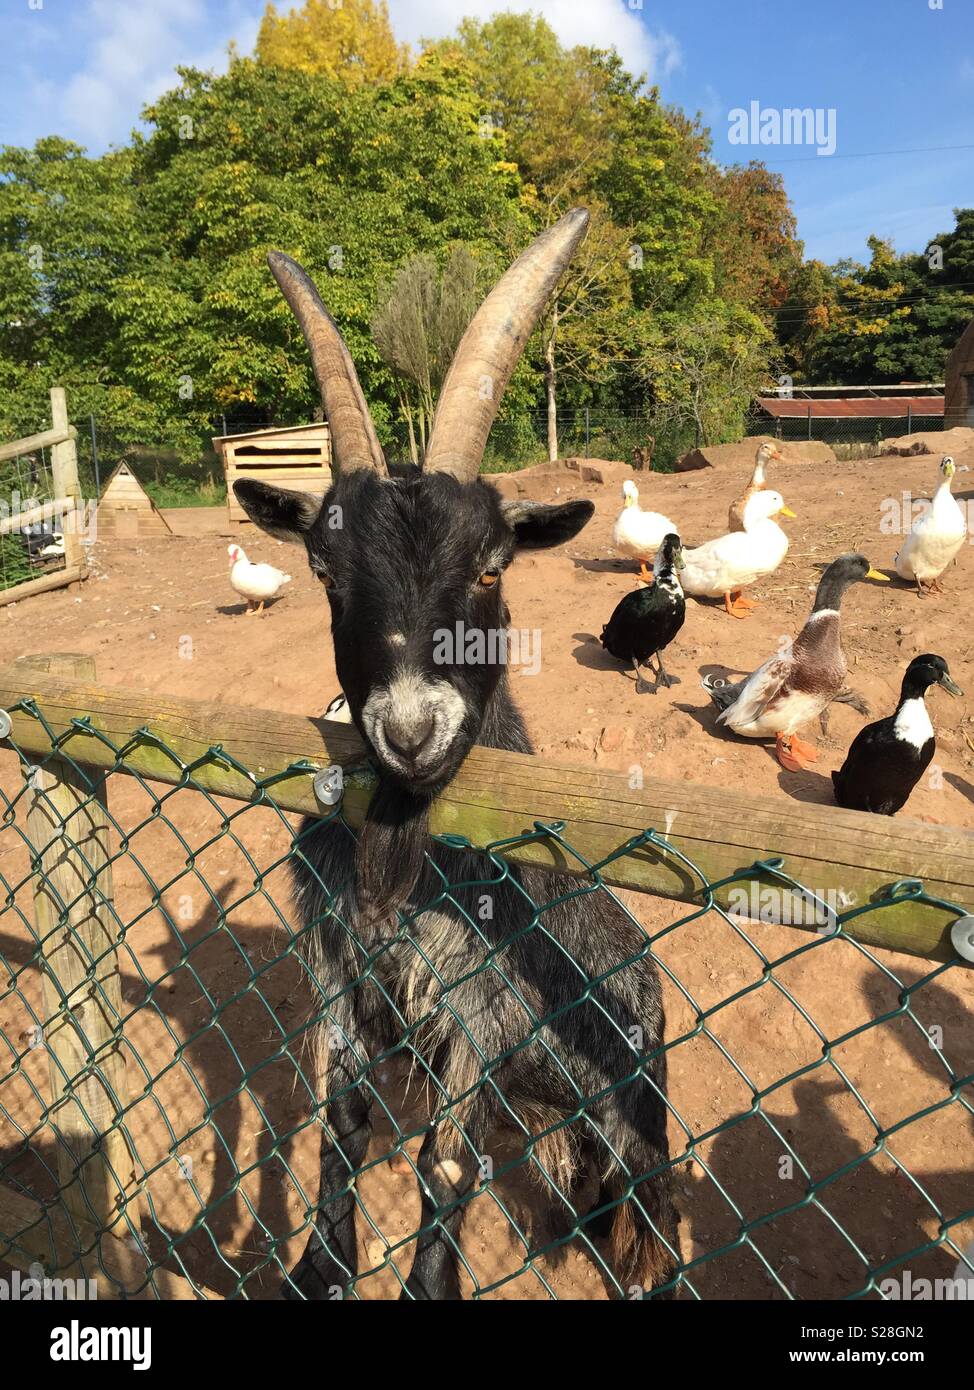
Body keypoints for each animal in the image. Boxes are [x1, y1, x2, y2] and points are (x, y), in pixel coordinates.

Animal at [234, 209, 679, 1301]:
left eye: (489, 567)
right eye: (324, 570)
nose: (410, 731)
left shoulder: (477, 1009)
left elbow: (443, 1162)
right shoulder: (342, 971)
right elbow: (343, 1123)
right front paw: (320, 1263)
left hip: (631, 1112)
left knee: (644, 1217)